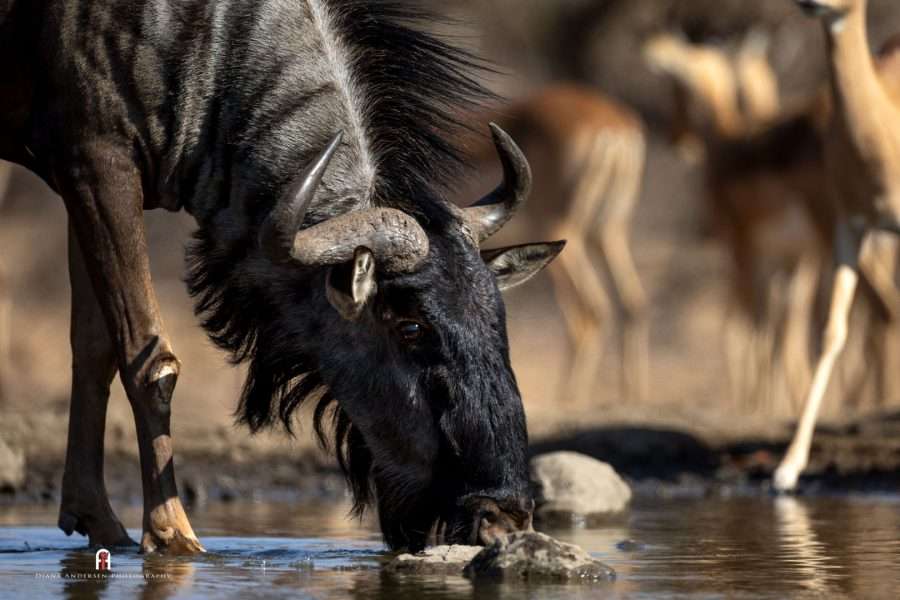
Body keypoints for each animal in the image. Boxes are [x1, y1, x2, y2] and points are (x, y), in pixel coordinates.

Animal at [0, 0, 564, 553]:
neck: (205, 43)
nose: (504, 516)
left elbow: (95, 349)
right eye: (410, 327)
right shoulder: (98, 162)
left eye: (498, 319)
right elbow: (150, 358)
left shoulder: (80, 181)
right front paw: (173, 535)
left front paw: (96, 521)